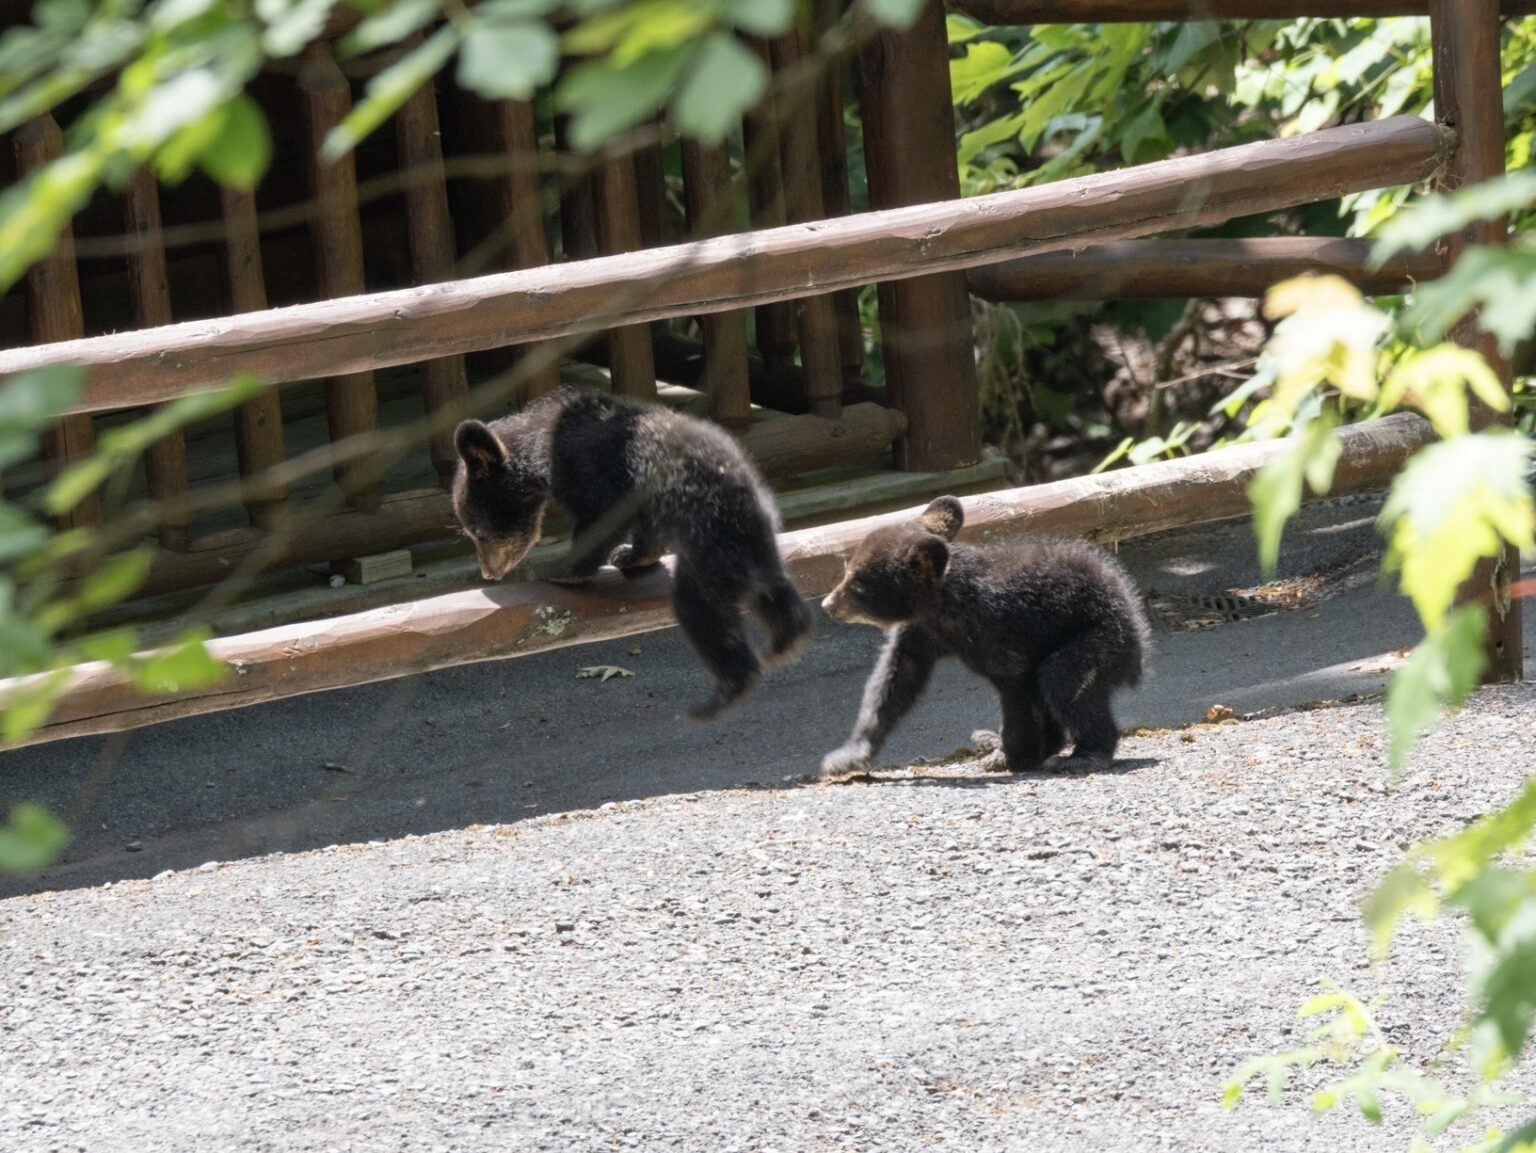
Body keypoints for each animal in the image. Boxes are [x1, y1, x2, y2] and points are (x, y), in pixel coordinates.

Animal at [452, 387, 811, 720]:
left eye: (478, 532)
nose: (489, 572)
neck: (537, 446)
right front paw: (633, 555)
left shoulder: (583, 461)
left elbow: (603, 514)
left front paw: (562, 570)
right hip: (751, 545)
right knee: (773, 591)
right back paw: (788, 636)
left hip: (713, 542)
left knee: (699, 606)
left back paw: (722, 693)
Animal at [819, 495, 1150, 775]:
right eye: (848, 573)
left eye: (857, 583)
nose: (828, 604)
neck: (944, 605)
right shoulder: (920, 632)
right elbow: (896, 681)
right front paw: (847, 755)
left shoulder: (1002, 630)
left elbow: (1018, 693)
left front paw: (1012, 755)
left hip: (1101, 637)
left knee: (1064, 678)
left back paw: (1085, 754)